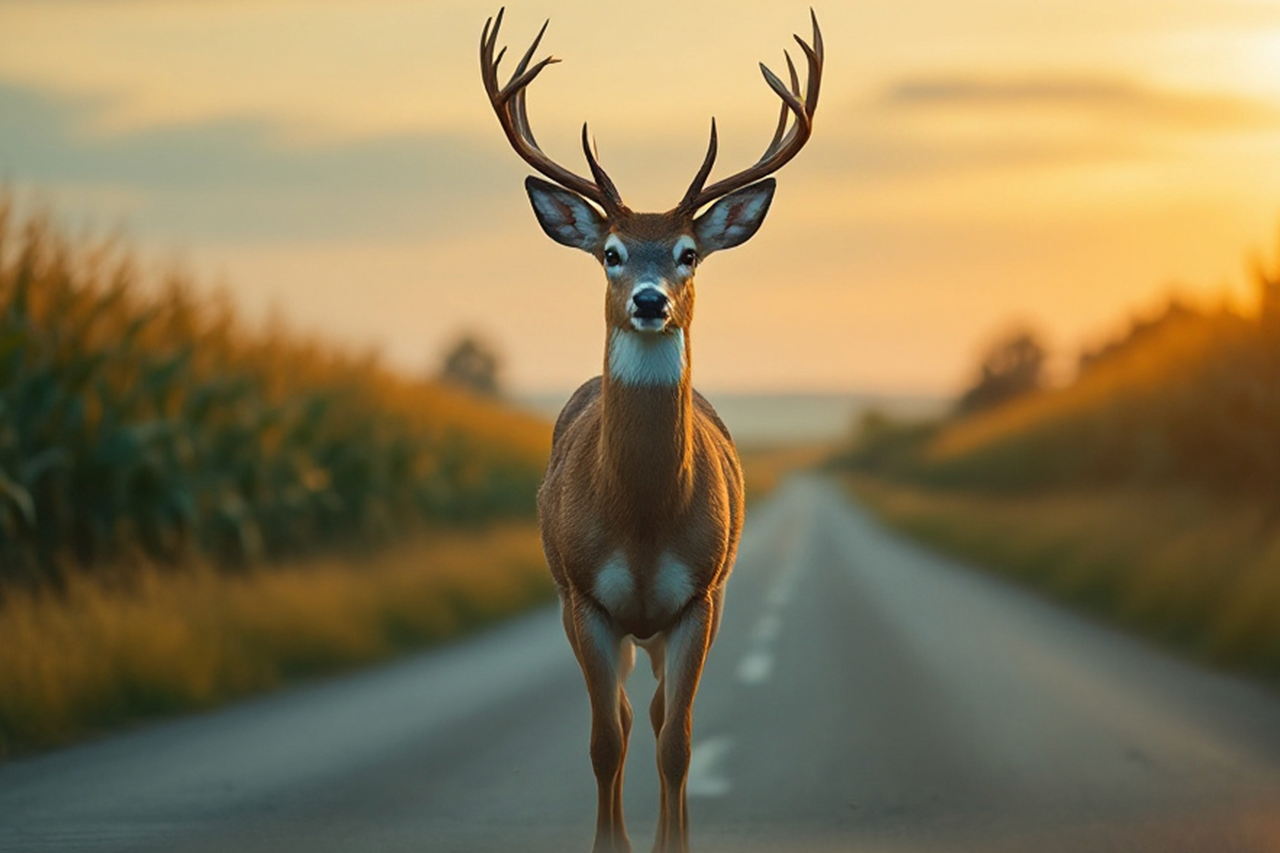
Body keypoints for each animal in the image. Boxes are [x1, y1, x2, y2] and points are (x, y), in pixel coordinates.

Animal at [480, 9, 822, 853]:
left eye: (688, 252)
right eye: (609, 251)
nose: (648, 300)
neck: (638, 520)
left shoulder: (698, 595)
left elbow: (680, 742)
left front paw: (675, 841)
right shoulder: (585, 597)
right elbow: (607, 741)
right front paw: (612, 842)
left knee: (667, 716)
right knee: (630, 716)